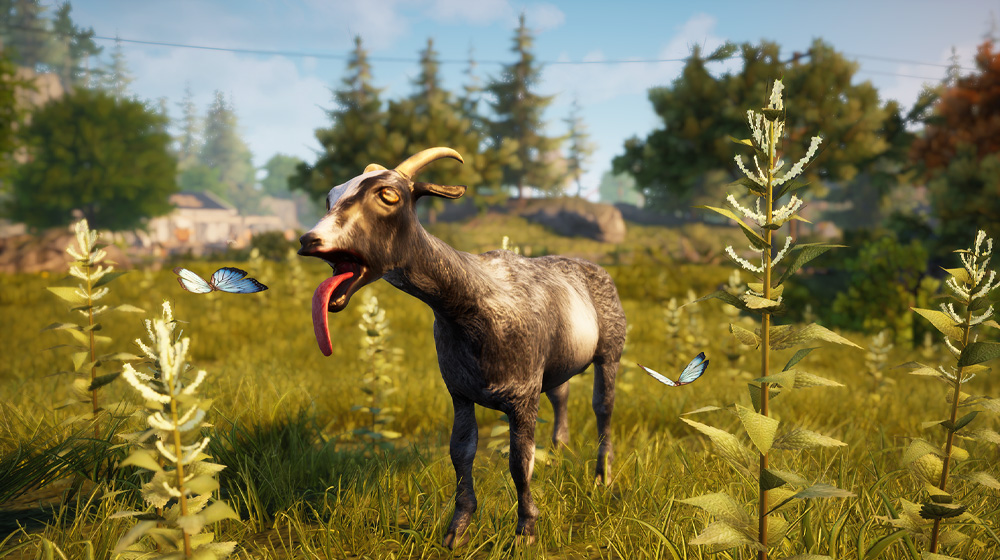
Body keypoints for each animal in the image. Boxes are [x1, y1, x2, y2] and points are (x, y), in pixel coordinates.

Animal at [298, 147, 627, 546]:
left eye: (388, 195)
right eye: (330, 197)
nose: (310, 240)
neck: (472, 306)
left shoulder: (522, 396)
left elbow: (520, 461)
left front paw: (526, 530)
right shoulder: (460, 391)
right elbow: (461, 452)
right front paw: (458, 529)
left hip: (610, 351)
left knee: (603, 407)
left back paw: (601, 476)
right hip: (555, 364)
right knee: (561, 396)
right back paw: (561, 454)